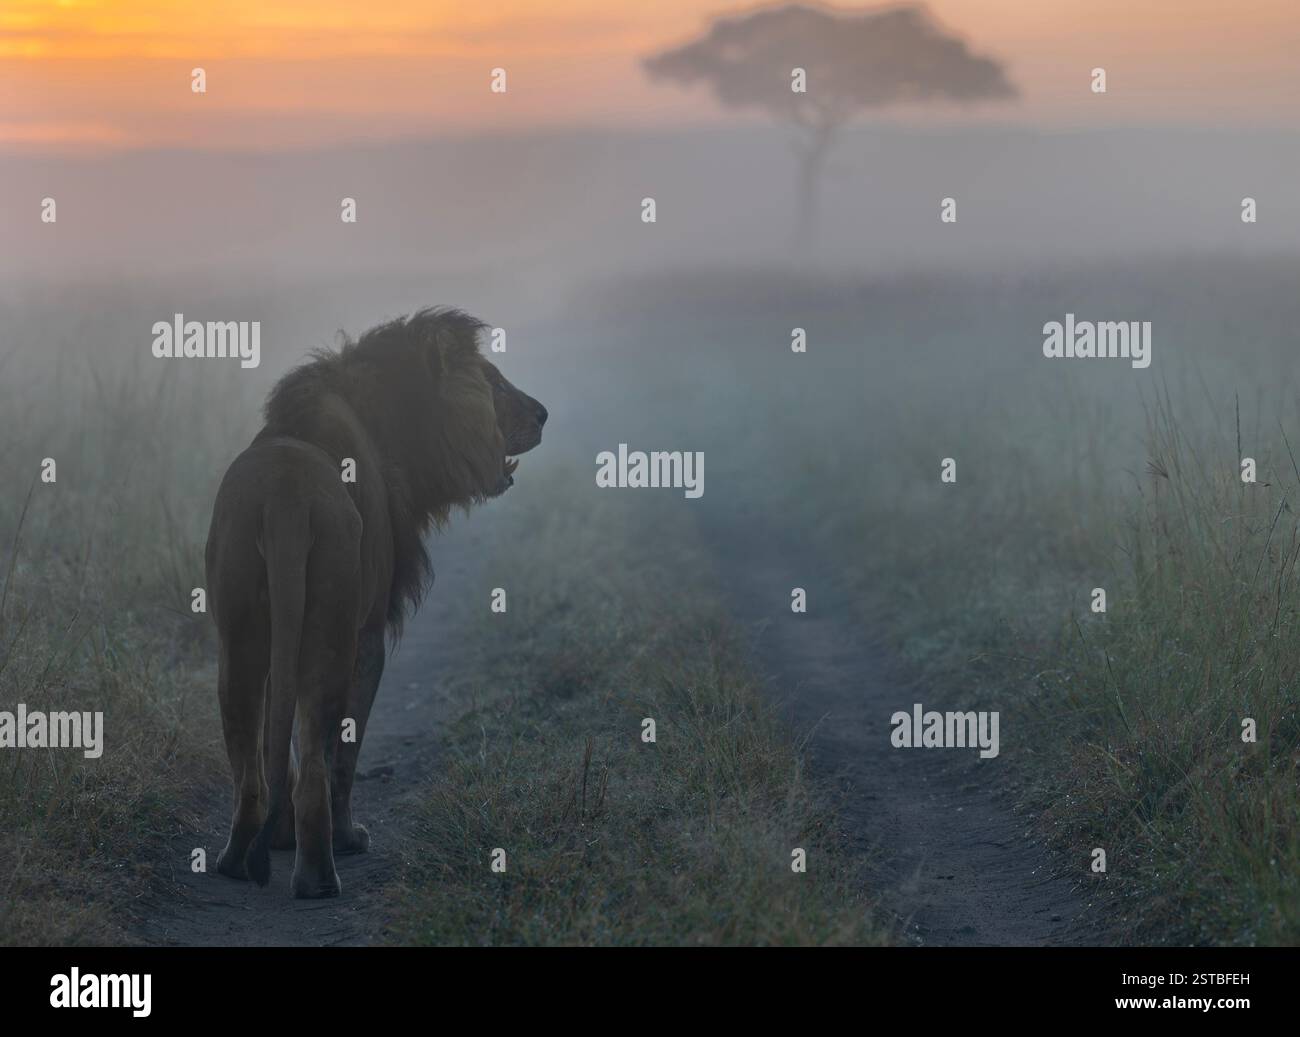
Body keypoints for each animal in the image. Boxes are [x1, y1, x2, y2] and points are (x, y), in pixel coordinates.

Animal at [204, 308, 546, 898]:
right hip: (332, 638)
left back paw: (237, 858)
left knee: (249, 761)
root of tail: (285, 499)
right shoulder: (368, 636)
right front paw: (347, 836)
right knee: (320, 764)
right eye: (494, 383)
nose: (544, 414)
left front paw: (279, 837)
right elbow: (344, 753)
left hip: (239, 641)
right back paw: (319, 874)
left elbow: (280, 746)